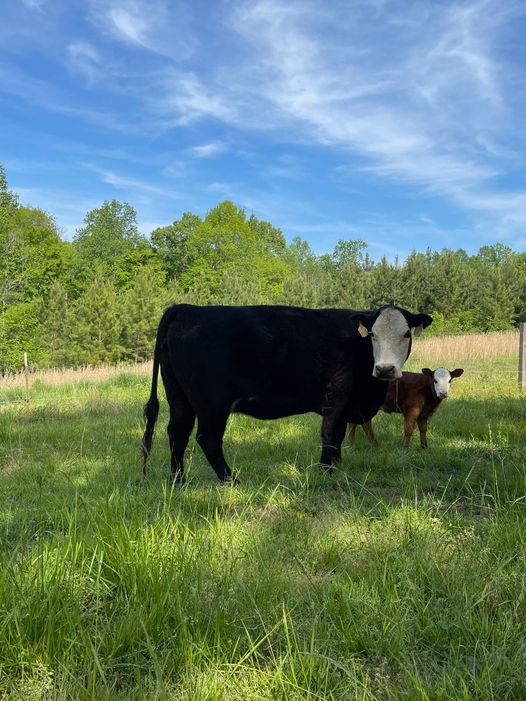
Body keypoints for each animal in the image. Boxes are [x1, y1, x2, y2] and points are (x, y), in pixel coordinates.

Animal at [142, 303, 432, 483]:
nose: (385, 369)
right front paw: (325, 472)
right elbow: (331, 434)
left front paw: (336, 465)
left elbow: (337, 440)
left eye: (406, 334)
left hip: (179, 396)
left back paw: (178, 480)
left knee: (177, 432)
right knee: (207, 438)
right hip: (212, 403)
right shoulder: (337, 397)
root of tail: (186, 308)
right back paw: (232, 481)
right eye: (372, 334)